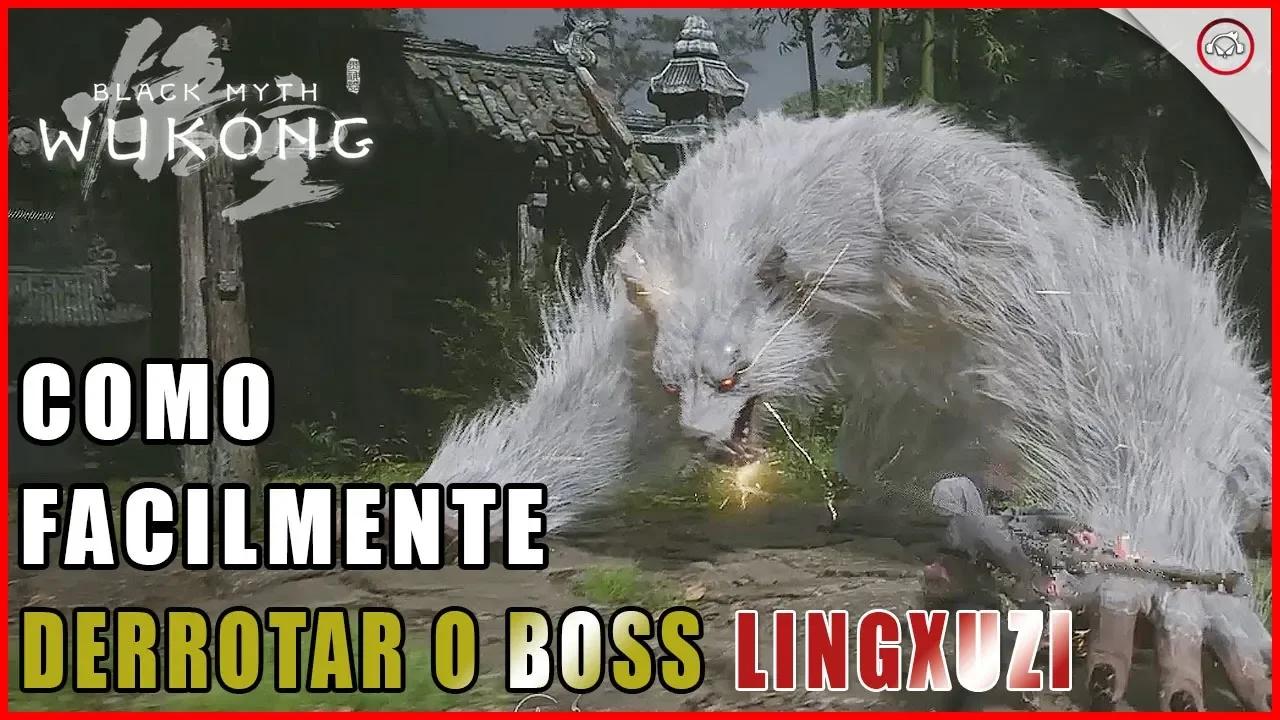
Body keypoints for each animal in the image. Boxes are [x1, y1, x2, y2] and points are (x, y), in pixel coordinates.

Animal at [416, 108, 1272, 710]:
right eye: (677, 384)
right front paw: (460, 505)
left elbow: (1094, 344)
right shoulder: (656, 314)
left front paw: (1158, 572)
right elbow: (606, 403)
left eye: (730, 378)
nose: (703, 440)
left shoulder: (959, 220)